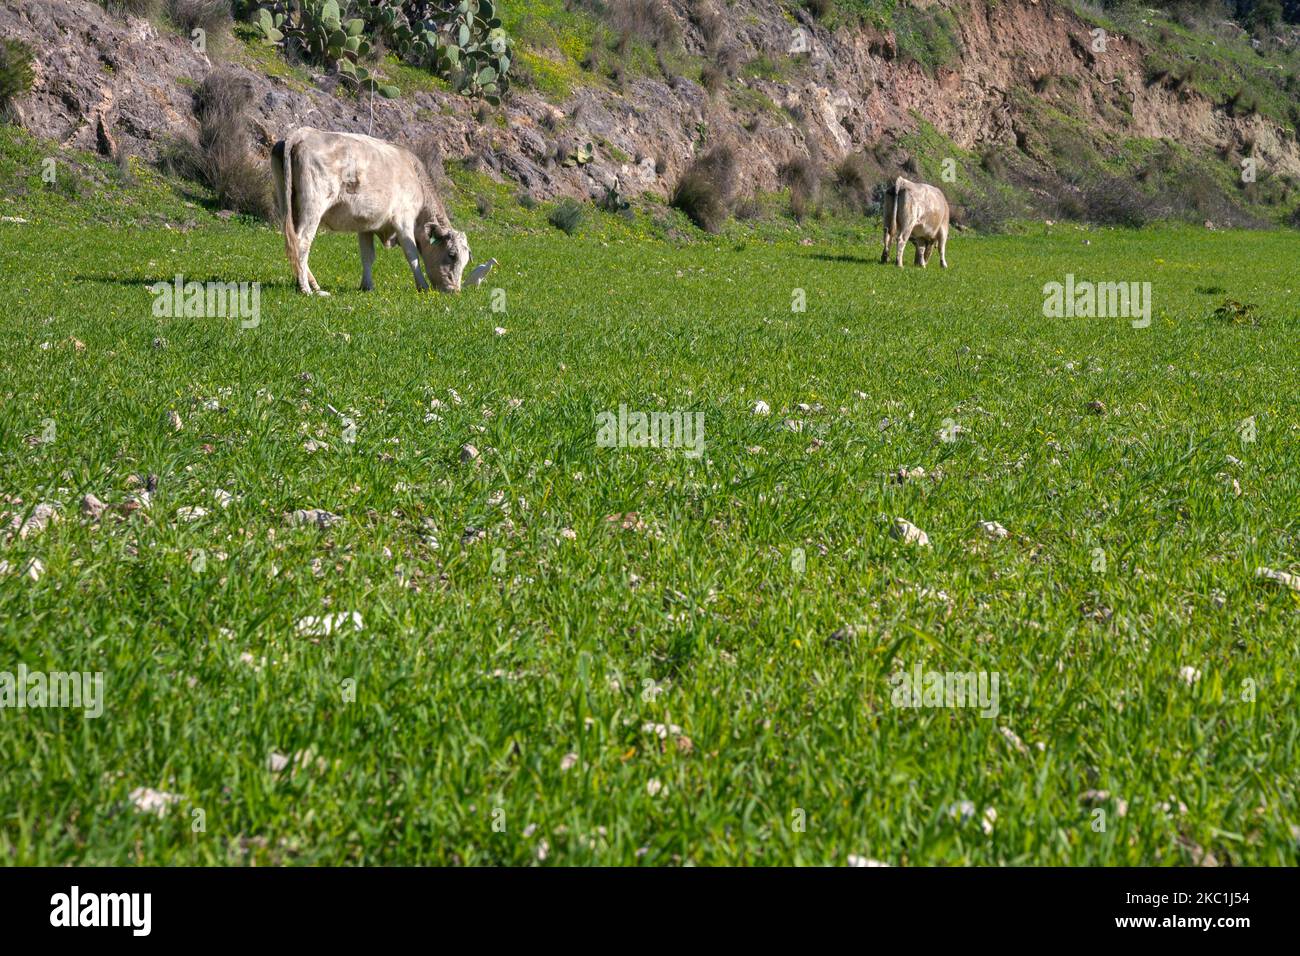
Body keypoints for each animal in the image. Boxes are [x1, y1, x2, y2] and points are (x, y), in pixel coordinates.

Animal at [271, 127, 470, 295]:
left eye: (467, 260)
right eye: (452, 255)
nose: (455, 291)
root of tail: (302, 133)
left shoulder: (366, 224)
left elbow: (367, 256)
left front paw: (367, 286)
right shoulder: (404, 219)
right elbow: (412, 254)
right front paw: (422, 286)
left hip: (289, 205)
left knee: (293, 242)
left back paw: (311, 284)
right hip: (313, 205)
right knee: (302, 241)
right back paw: (305, 289)